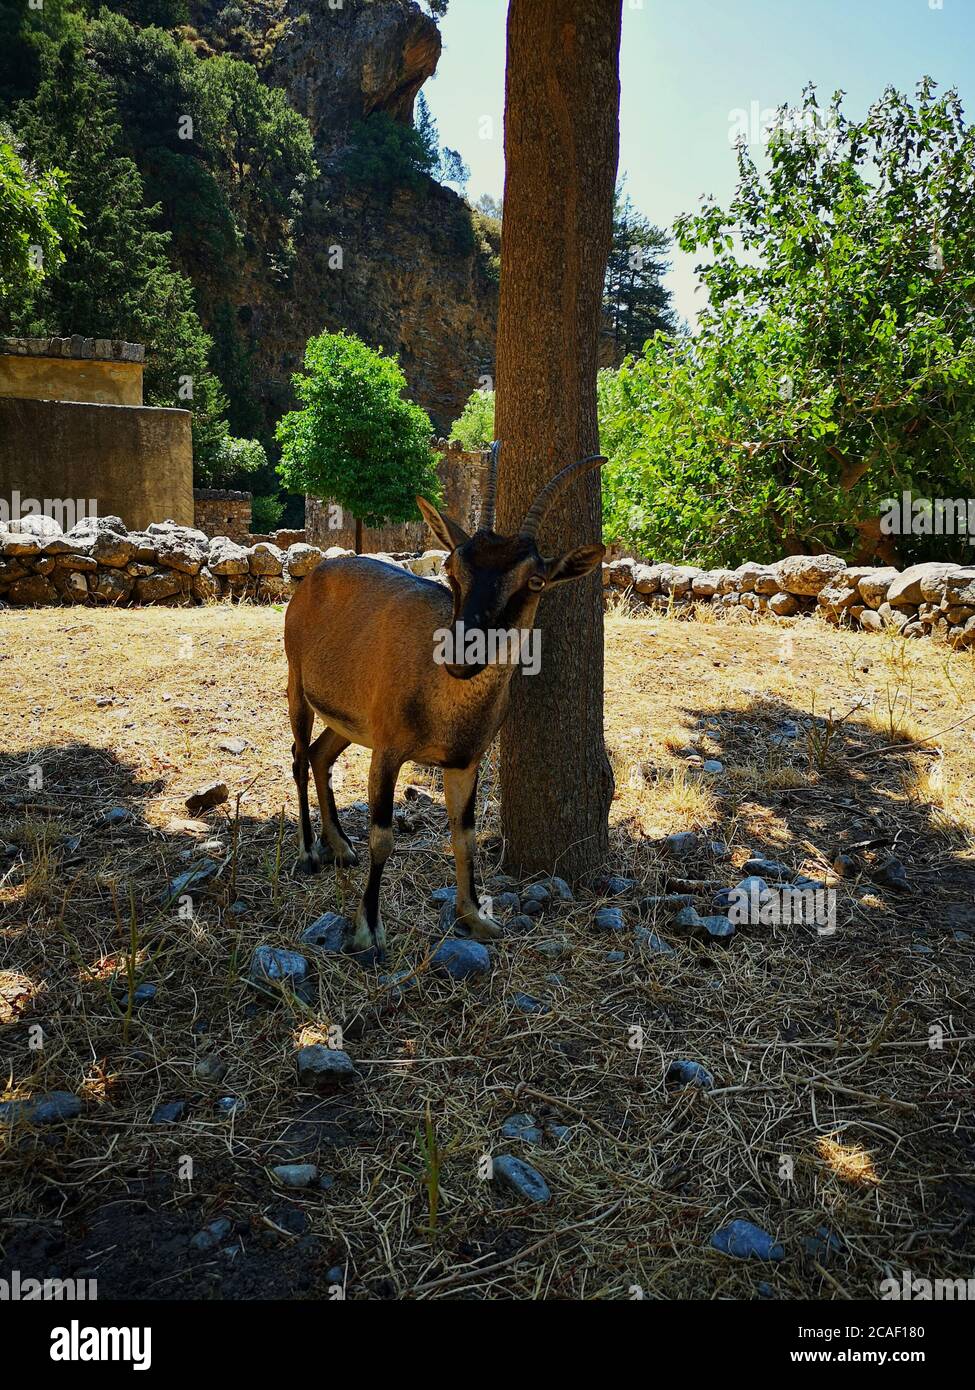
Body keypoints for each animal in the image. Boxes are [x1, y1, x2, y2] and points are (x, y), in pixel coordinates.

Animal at [284, 447, 605, 956]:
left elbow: (465, 837)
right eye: (453, 568)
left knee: (320, 755)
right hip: (297, 680)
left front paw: (476, 917)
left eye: (535, 581)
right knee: (298, 755)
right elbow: (383, 838)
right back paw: (309, 851)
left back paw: (340, 847)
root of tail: (315, 575)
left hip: (350, 718)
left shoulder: (465, 760)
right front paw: (368, 929)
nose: (460, 655)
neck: (444, 707)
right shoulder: (388, 751)